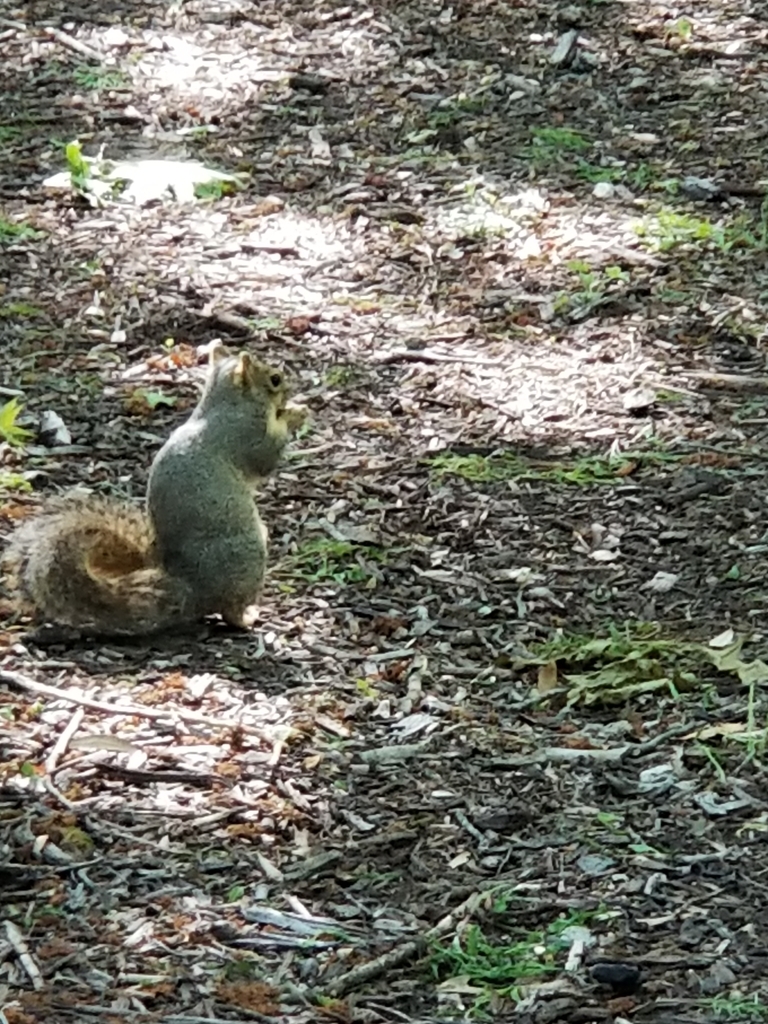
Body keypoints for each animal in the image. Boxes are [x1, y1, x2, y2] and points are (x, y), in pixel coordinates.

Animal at [3, 342, 308, 636]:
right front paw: (296, 413)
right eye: (275, 379)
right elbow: (266, 457)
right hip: (249, 556)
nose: (291, 389)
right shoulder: (247, 434)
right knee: (230, 611)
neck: (225, 402)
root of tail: (191, 591)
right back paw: (248, 617)